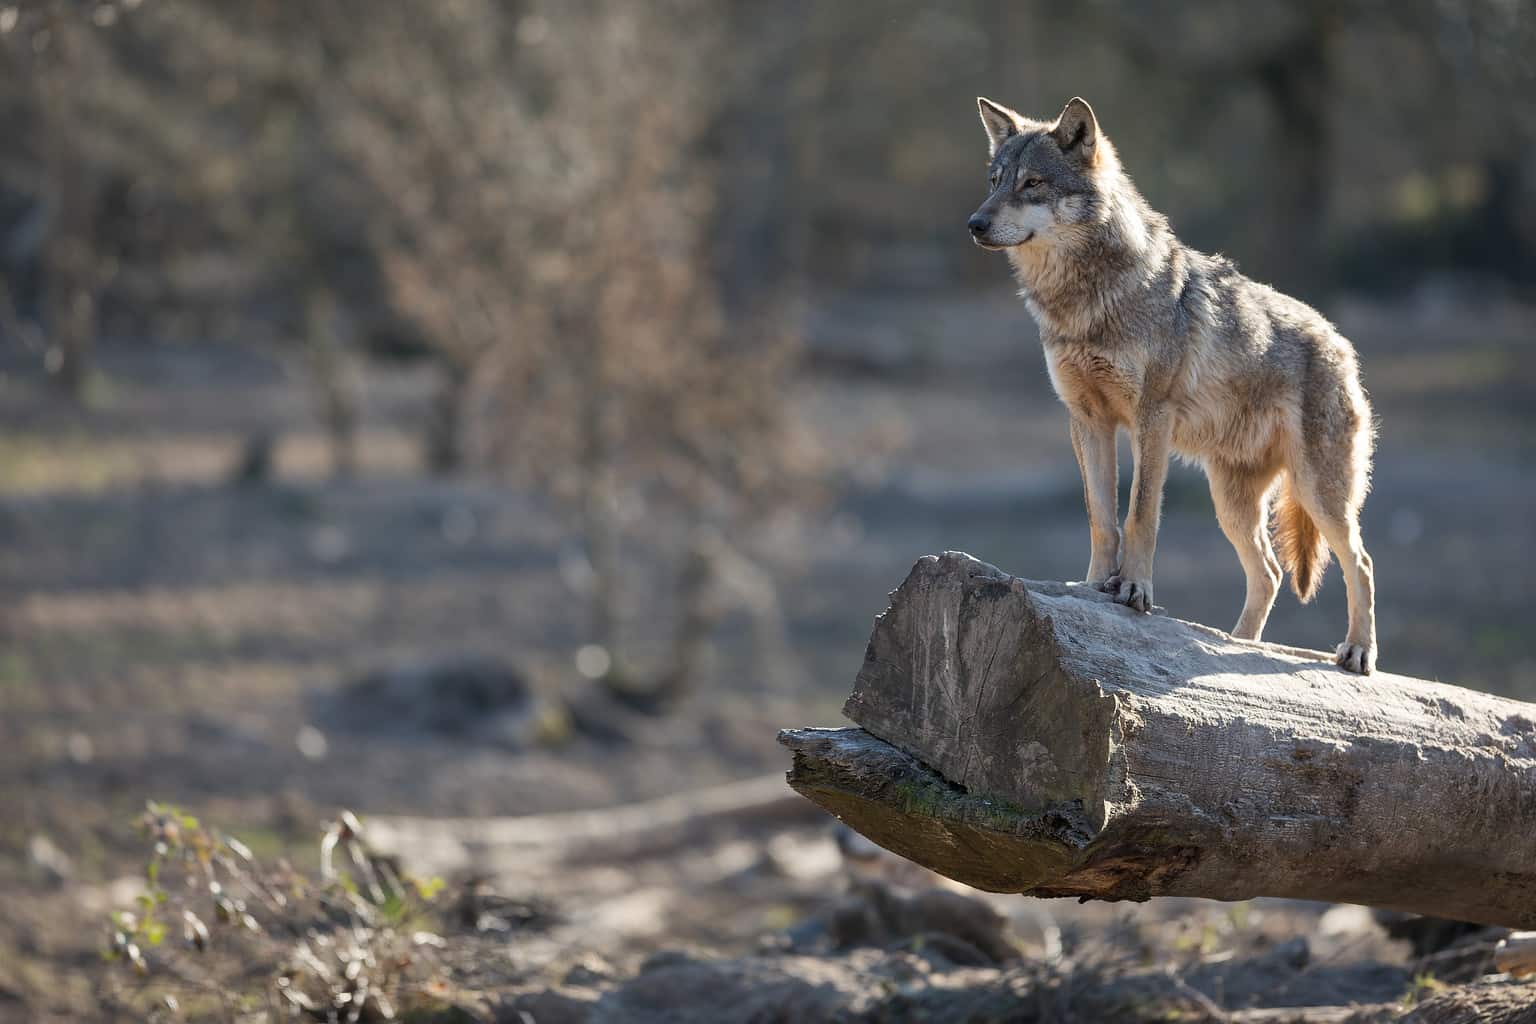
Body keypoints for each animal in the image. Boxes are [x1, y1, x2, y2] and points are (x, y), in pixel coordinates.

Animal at [969, 96, 1377, 673]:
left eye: (1033, 184)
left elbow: (1140, 514)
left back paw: (1358, 651)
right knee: (1270, 572)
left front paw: (1134, 589)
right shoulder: (1087, 420)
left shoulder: (1151, 418)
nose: (975, 223)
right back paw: (1236, 644)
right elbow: (1102, 518)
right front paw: (1093, 587)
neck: (1088, 301)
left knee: (1359, 561)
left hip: (1318, 493)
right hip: (1232, 503)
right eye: (995, 180)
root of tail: (1340, 341)